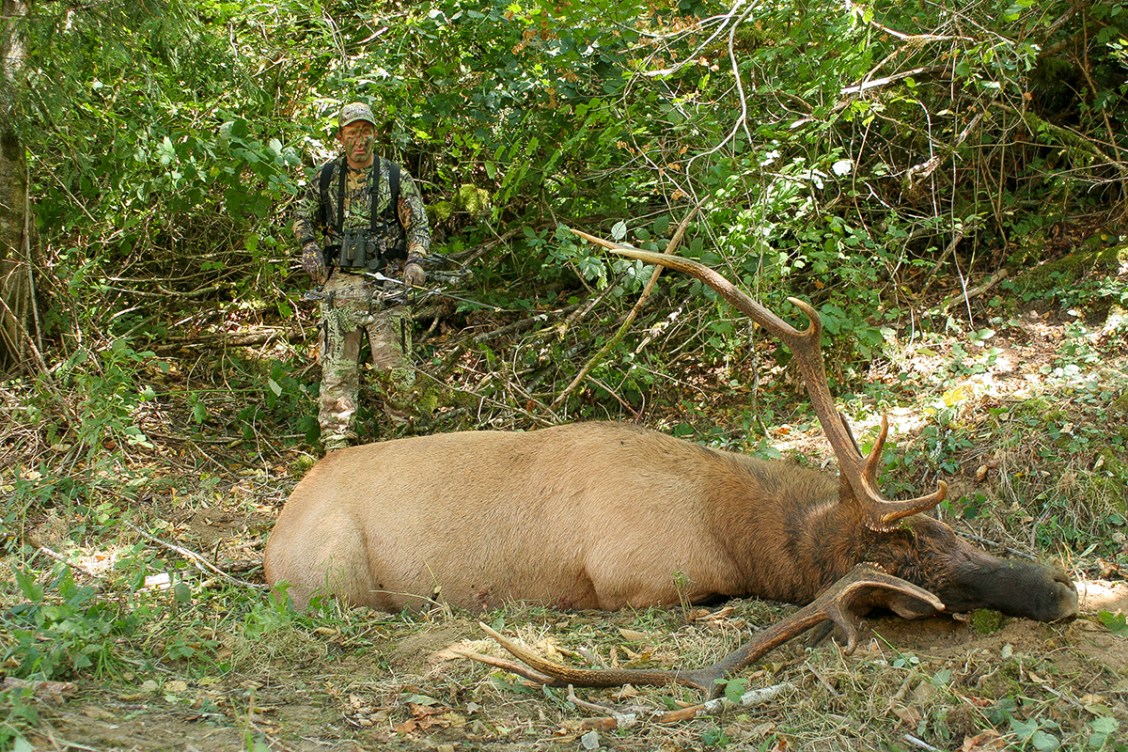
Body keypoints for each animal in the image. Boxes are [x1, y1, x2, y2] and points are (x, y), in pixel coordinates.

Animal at [263, 239, 1078, 696]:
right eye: (913, 580)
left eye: (945, 532)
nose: (1063, 591)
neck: (728, 524)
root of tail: (273, 533)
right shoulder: (638, 581)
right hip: (335, 580)